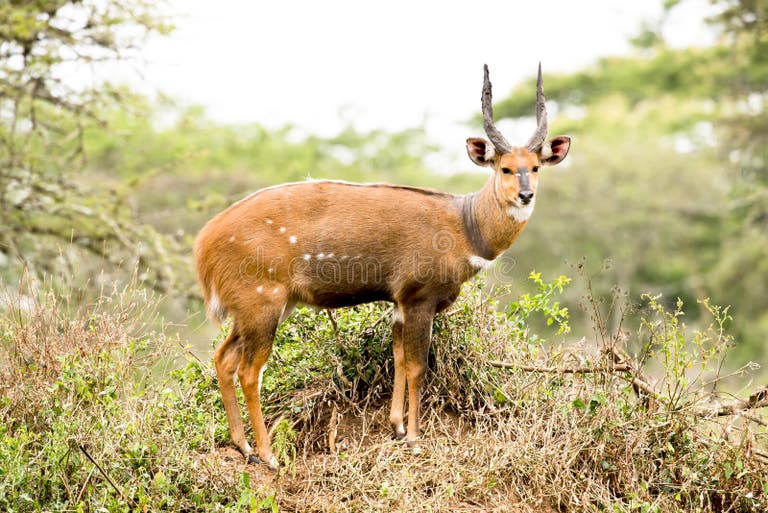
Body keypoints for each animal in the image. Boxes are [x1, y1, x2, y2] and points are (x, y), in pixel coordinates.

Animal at [194, 64, 570, 469]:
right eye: (505, 168)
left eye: (535, 167)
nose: (526, 195)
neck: (465, 226)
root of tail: (204, 243)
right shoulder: (420, 298)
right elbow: (418, 367)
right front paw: (417, 438)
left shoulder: (398, 304)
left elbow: (399, 359)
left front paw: (397, 428)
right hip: (263, 303)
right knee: (249, 371)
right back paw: (267, 455)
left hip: (260, 308)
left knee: (223, 358)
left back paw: (243, 446)